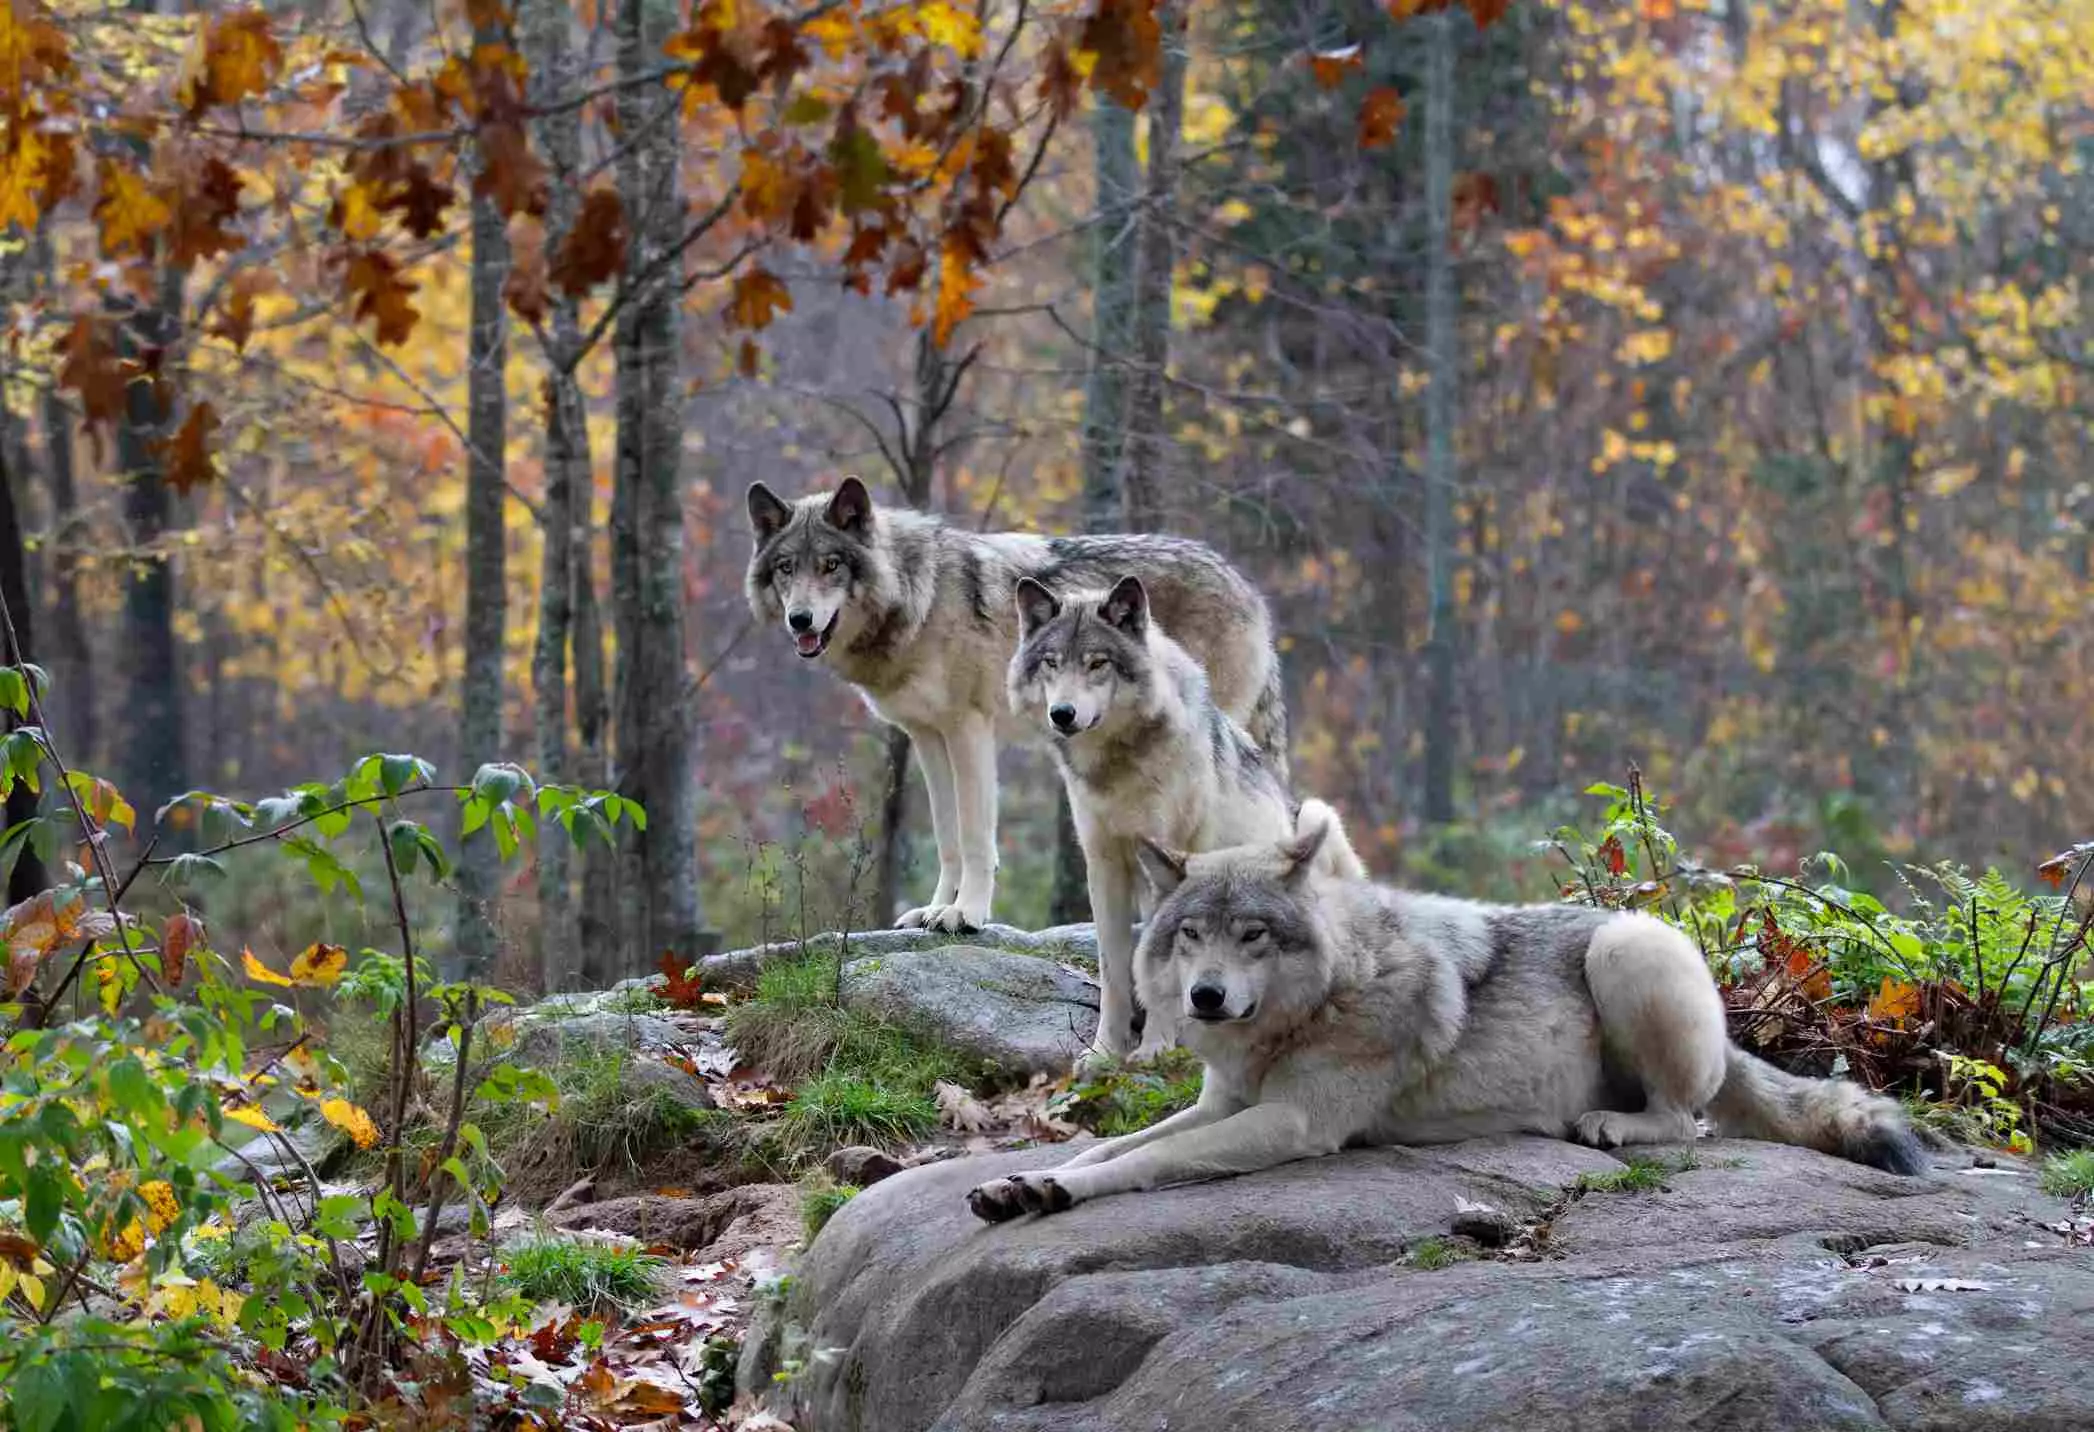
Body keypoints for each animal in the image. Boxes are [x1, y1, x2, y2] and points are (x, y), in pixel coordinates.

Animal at [745, 475, 1281, 933]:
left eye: (831, 565)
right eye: (787, 568)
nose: (800, 619)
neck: (921, 597)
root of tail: (1247, 586)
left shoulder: (968, 730)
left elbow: (975, 836)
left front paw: (966, 914)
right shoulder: (927, 736)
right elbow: (948, 836)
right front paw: (935, 909)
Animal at [971, 803, 1918, 1222]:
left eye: (1253, 935)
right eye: (1192, 935)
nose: (1206, 997)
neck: (1320, 999)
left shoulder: (1292, 1123)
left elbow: (1146, 1162)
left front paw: (1059, 1189)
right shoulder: (1225, 1103)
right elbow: (1116, 1144)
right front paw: (1024, 1179)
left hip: (1626, 950)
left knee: (1689, 1122)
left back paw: (1609, 1125)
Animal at [1009, 573, 1356, 1063]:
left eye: (1097, 663)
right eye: (1051, 663)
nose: (1062, 714)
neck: (1119, 766)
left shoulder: (1168, 863)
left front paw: (1155, 1048)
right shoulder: (1104, 865)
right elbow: (1114, 971)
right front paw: (1104, 1053)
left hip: (1315, 815)